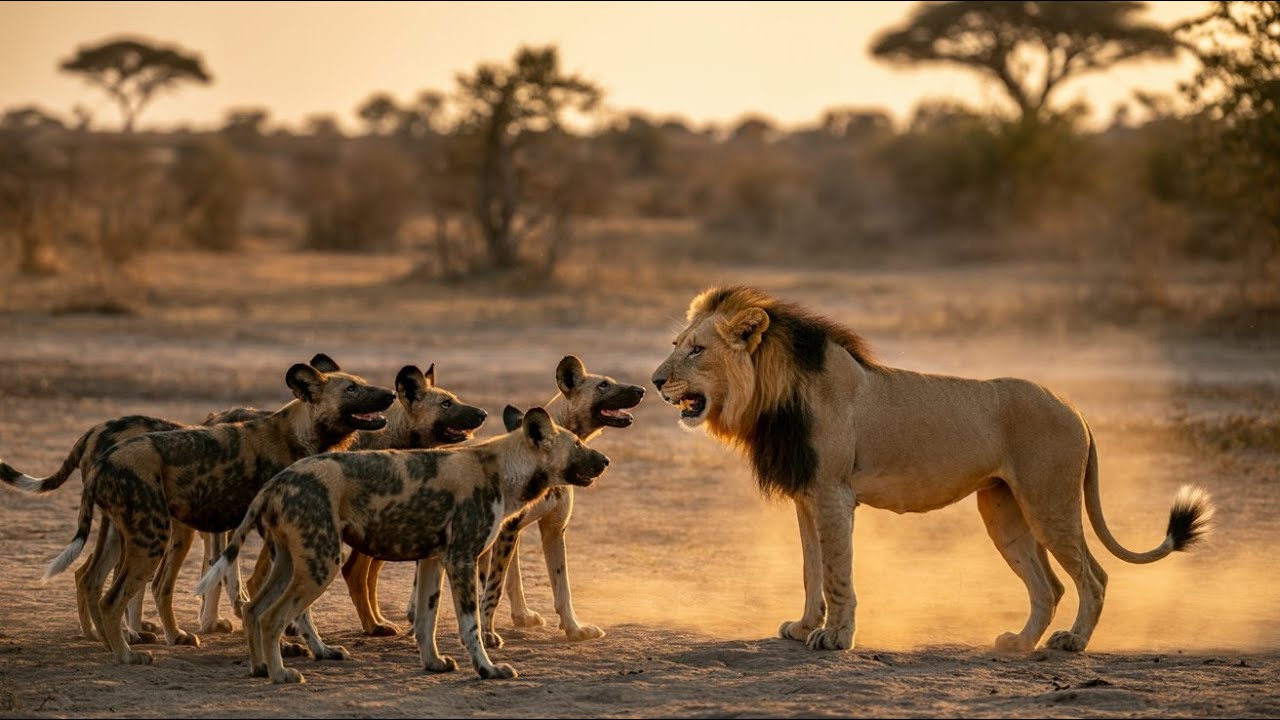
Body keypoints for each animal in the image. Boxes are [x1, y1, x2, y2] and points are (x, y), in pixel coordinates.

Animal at [651, 285, 1212, 653]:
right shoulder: (807, 498)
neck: (774, 396)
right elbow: (811, 571)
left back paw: (1071, 642)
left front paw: (835, 637)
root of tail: (1075, 408)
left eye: (696, 350)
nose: (655, 381)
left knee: (1094, 577)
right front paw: (804, 626)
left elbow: (836, 574)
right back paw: (1019, 644)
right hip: (1003, 510)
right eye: (675, 345)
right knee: (1048, 586)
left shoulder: (833, 495)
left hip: (1049, 501)